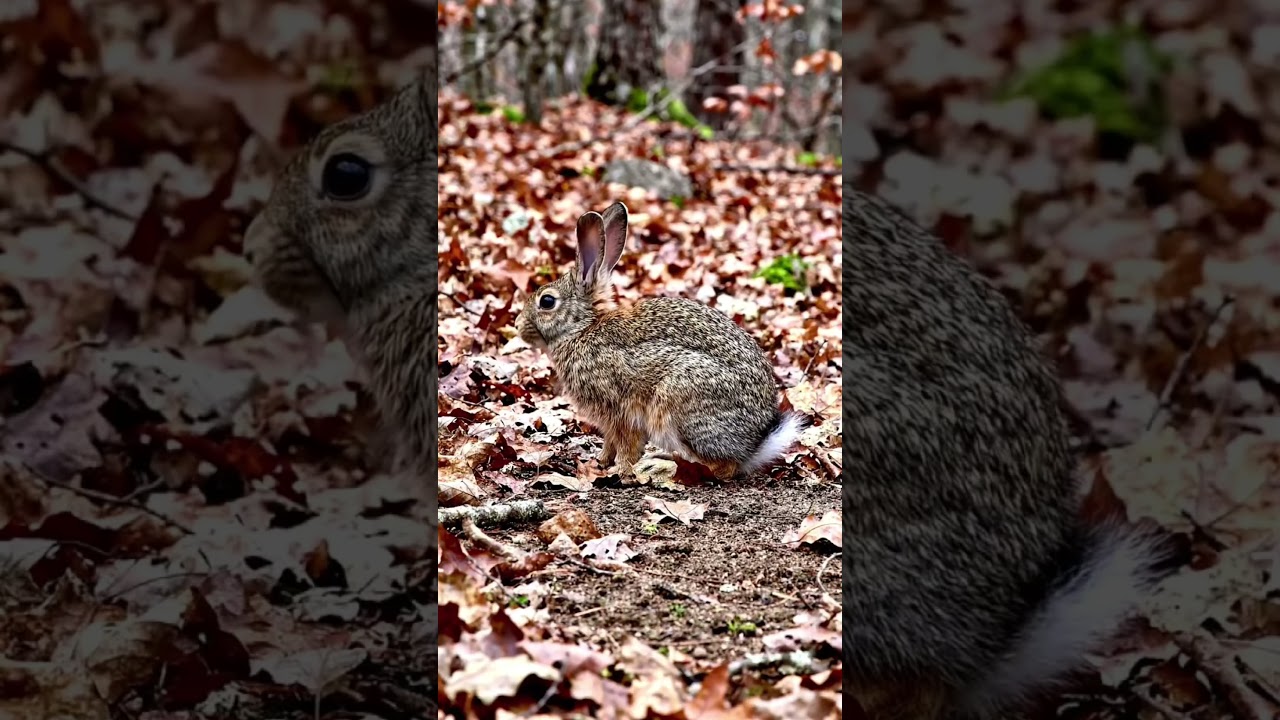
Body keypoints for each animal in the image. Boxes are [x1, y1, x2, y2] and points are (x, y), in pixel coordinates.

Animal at [516, 201, 805, 482]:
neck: (582, 329)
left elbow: (626, 445)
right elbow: (609, 443)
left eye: (547, 301)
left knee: (723, 468)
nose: (517, 324)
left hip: (678, 401)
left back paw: (662, 465)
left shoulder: (620, 410)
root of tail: (756, 444)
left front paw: (619, 471)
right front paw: (600, 462)